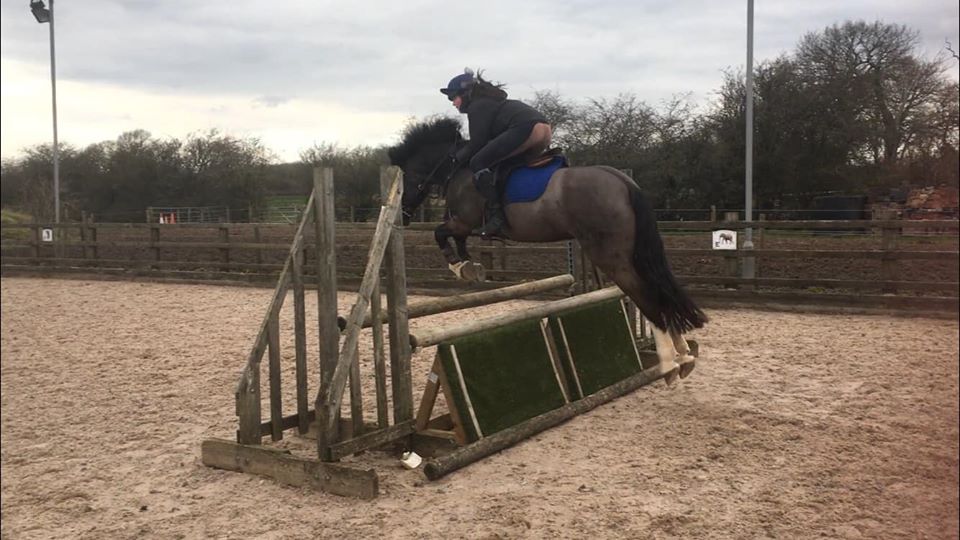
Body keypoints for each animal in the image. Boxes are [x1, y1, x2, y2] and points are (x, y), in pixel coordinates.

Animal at [387, 117, 706, 382]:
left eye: (407, 179)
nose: (402, 216)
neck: (457, 166)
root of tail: (622, 180)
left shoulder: (463, 221)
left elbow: (440, 234)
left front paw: (458, 265)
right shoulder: (465, 225)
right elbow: (458, 240)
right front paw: (469, 267)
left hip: (612, 256)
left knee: (645, 293)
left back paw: (669, 362)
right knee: (659, 291)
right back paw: (683, 355)